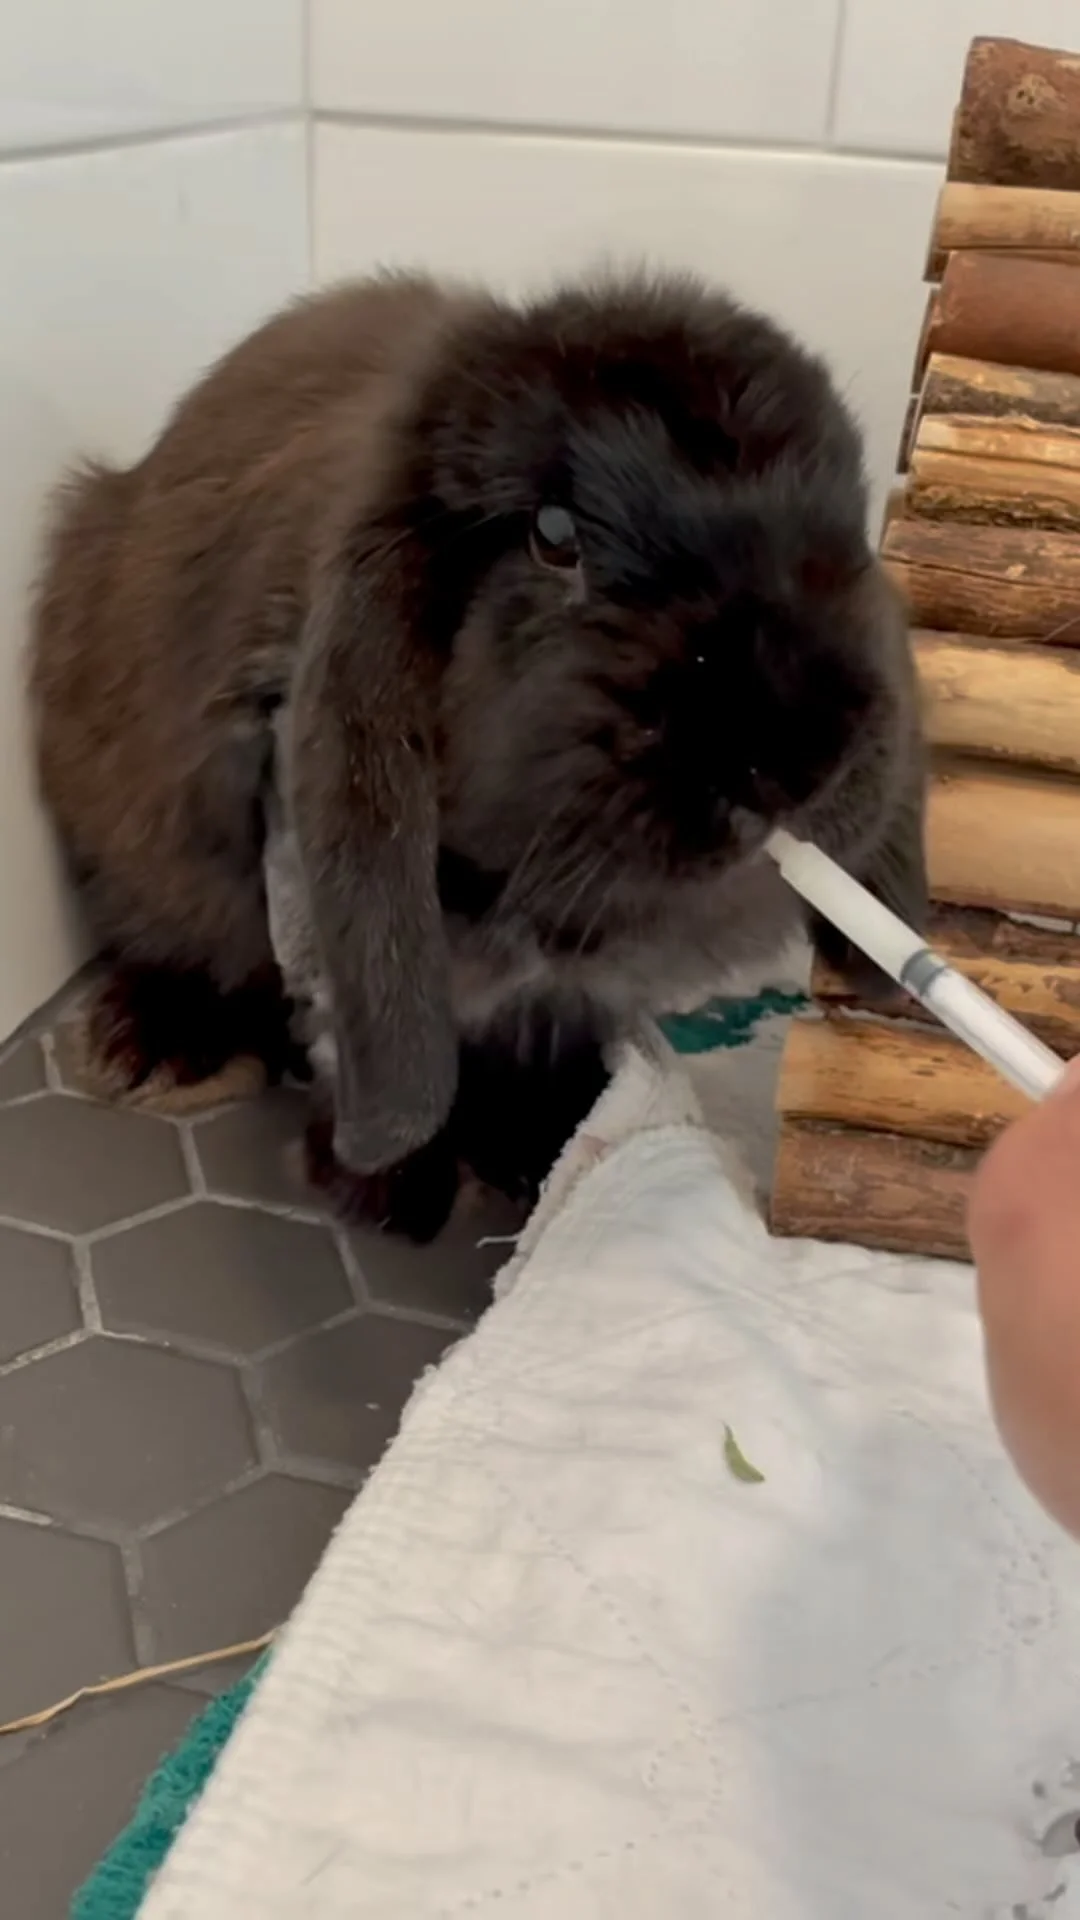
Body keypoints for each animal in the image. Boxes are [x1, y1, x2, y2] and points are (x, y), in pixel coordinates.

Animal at [30, 268, 926, 1241]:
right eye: (554, 537)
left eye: (837, 517)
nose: (801, 757)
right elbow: (355, 1025)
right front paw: (396, 1188)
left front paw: (545, 1140)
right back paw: (159, 1046)